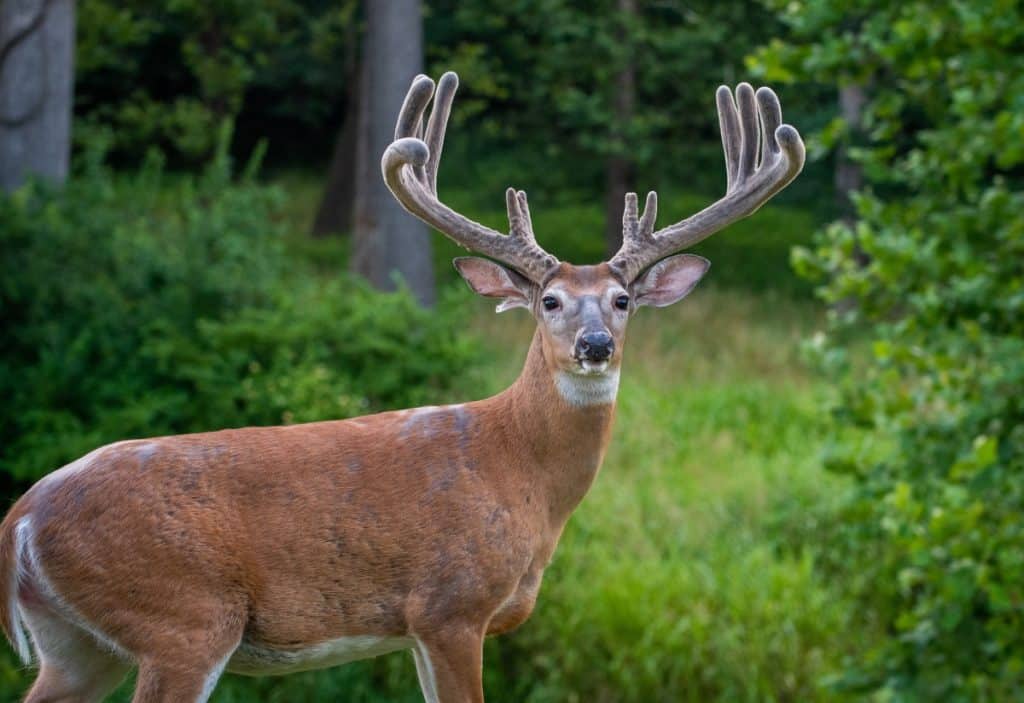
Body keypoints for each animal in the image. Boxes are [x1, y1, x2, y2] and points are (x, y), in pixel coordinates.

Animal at [0, 71, 804, 703]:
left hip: (79, 646)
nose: (595, 346)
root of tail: (22, 520)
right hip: (185, 618)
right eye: (549, 300)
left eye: (623, 300)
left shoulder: (417, 628)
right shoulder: (449, 605)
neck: (520, 475)